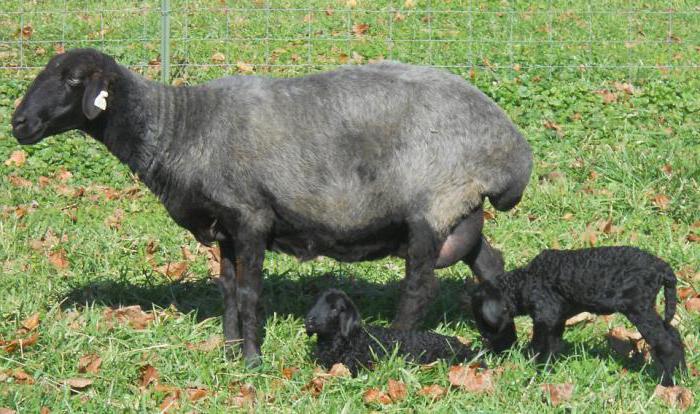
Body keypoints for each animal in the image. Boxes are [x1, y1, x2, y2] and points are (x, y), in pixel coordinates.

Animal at [10, 49, 532, 366]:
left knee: (419, 288)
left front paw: (251, 360)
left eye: (72, 80)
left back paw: (393, 347)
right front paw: (227, 350)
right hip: (461, 211)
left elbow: (249, 293)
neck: (180, 128)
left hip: (433, 207)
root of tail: (512, 151)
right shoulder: (224, 228)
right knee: (491, 265)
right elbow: (226, 291)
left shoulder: (252, 219)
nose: (18, 124)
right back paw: (502, 343)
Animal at [470, 246, 688, 384]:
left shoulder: (545, 315)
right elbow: (552, 345)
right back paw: (682, 374)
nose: (494, 352)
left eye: (484, 324)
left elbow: (539, 346)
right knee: (674, 335)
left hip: (639, 309)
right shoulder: (557, 318)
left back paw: (668, 383)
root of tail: (663, 268)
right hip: (647, 308)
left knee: (666, 344)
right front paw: (548, 369)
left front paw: (534, 369)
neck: (523, 282)